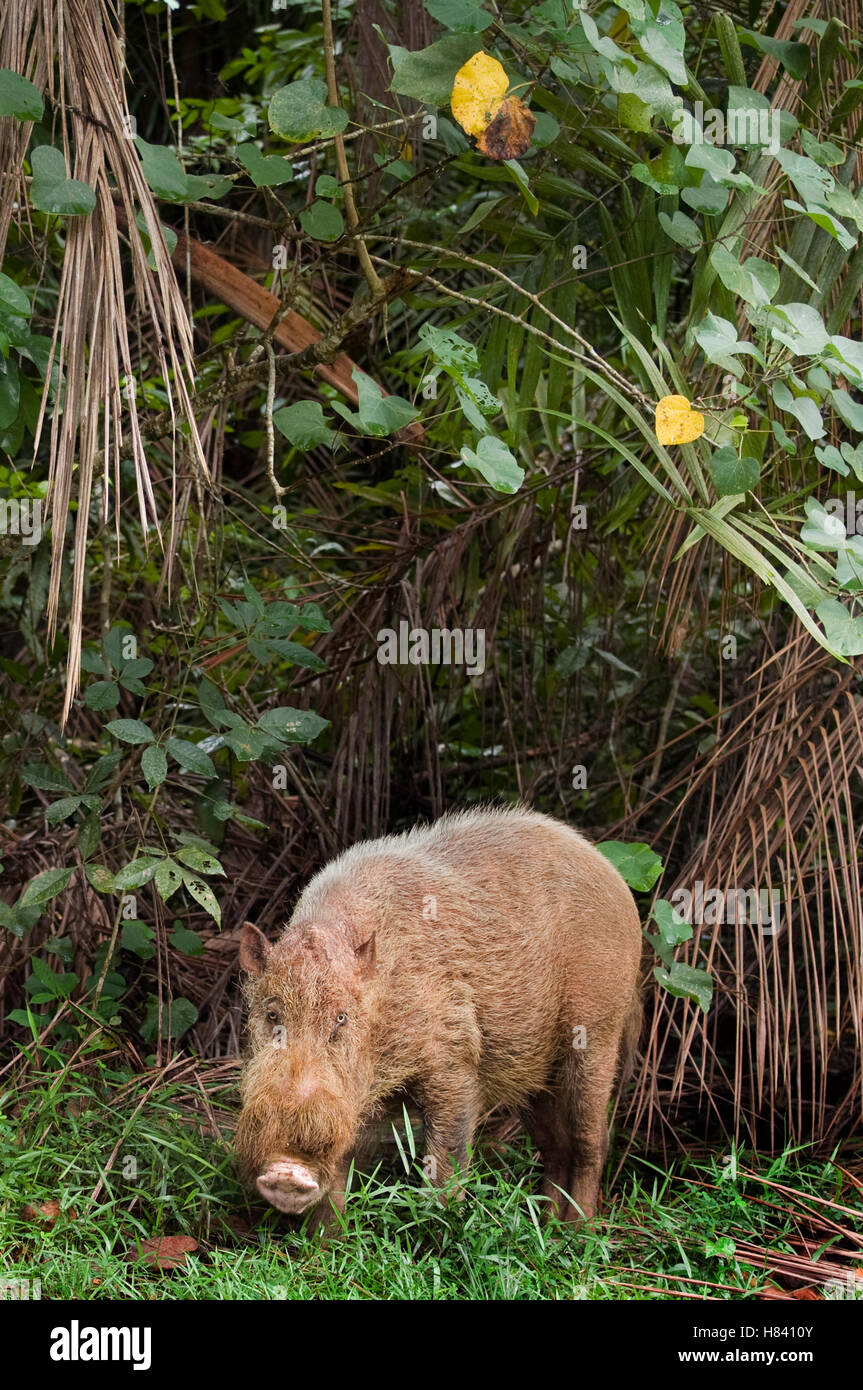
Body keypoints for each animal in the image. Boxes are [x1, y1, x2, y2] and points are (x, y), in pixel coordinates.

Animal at [235, 806, 643, 1228]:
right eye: (271, 1014)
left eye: (341, 1019)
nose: (287, 1171)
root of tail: (613, 876)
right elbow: (340, 1175)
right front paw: (323, 1240)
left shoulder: (456, 1061)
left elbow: (445, 1163)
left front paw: (445, 1227)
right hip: (536, 1070)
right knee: (555, 1145)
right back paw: (547, 1224)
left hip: (599, 1030)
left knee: (592, 1140)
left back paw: (579, 1229)